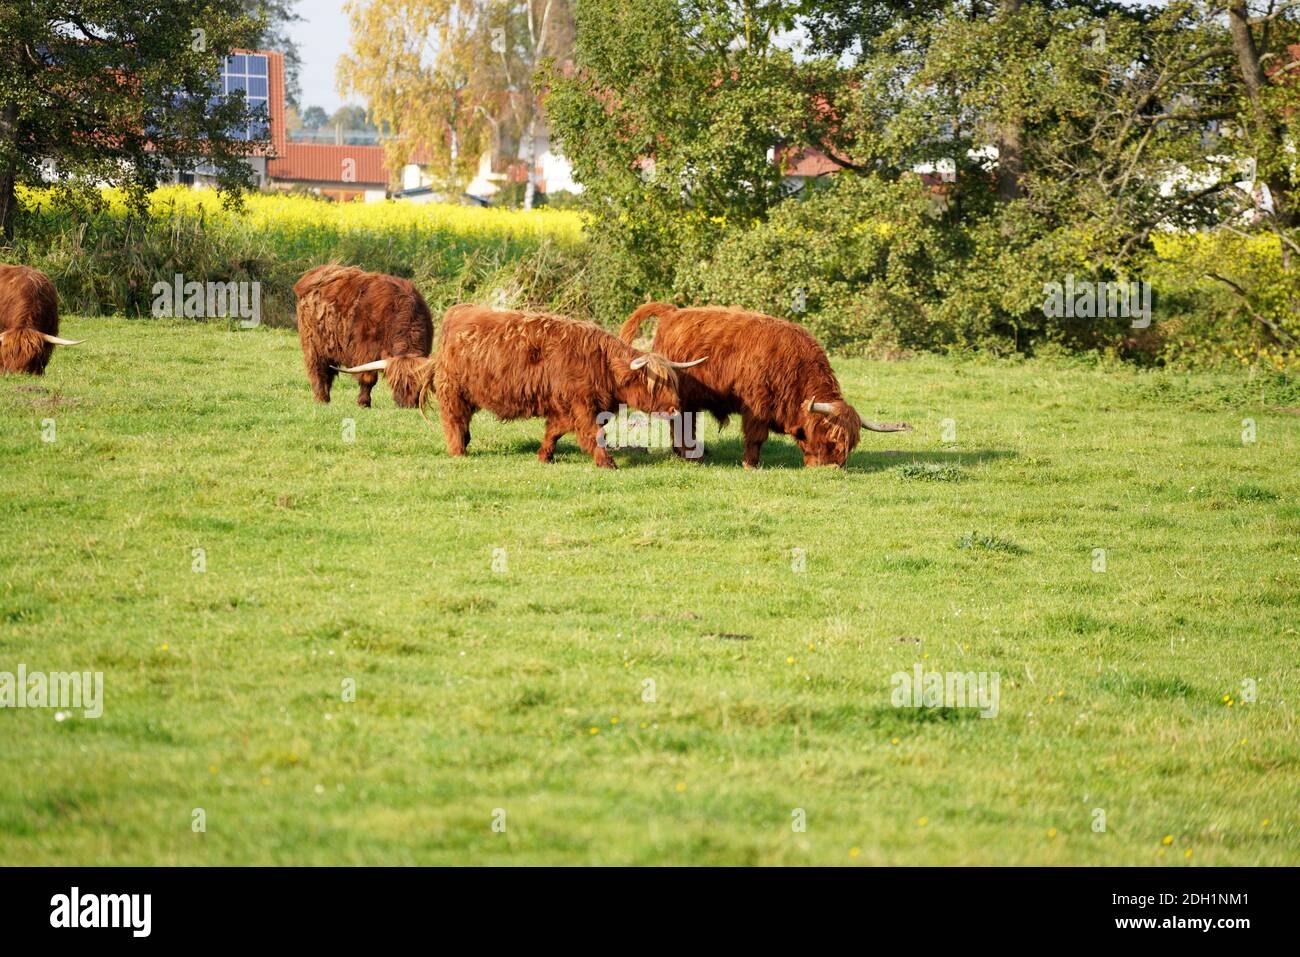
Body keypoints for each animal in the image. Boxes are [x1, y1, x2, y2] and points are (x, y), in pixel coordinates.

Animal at [293, 264, 433, 408]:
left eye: (419, 383)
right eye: (394, 382)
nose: (407, 405)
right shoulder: (365, 351)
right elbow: (368, 379)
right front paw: (364, 403)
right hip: (313, 346)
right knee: (318, 371)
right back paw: (321, 400)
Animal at [432, 304, 707, 468]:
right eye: (654, 386)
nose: (675, 409)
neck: (602, 365)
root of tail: (458, 309)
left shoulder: (566, 407)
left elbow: (554, 431)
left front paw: (544, 456)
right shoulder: (582, 405)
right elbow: (594, 434)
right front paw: (607, 463)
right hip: (453, 390)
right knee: (454, 420)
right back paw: (458, 451)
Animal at [621, 302, 911, 468]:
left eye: (849, 445)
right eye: (830, 436)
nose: (833, 468)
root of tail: (673, 312)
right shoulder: (757, 405)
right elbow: (756, 437)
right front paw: (751, 465)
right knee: (681, 422)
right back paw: (692, 455)